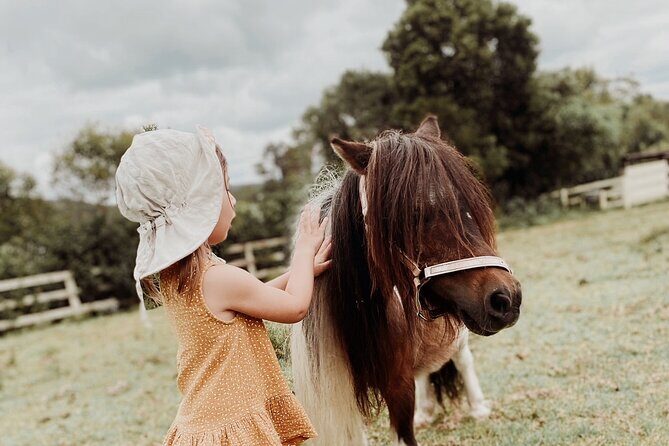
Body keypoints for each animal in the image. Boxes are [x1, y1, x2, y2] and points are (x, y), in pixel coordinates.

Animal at [290, 115, 522, 446]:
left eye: (467, 206)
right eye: (414, 213)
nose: (506, 298)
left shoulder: (398, 387)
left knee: (462, 359)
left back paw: (477, 408)